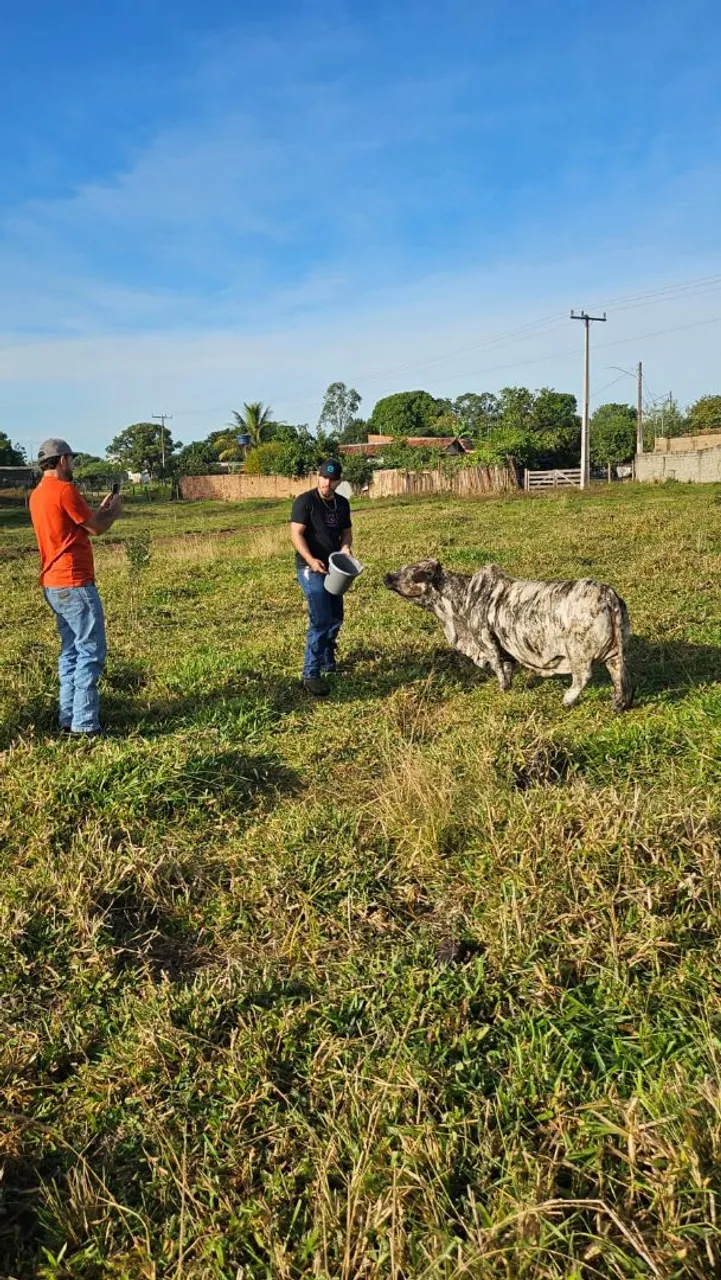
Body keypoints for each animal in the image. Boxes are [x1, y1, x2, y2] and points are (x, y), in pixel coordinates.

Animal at [384, 560, 633, 711]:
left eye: (409, 572)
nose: (387, 575)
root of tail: (607, 594)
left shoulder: (487, 642)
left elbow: (499, 670)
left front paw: (502, 690)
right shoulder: (505, 648)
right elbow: (508, 668)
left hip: (578, 651)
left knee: (583, 676)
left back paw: (568, 699)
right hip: (615, 652)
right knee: (619, 674)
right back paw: (618, 704)